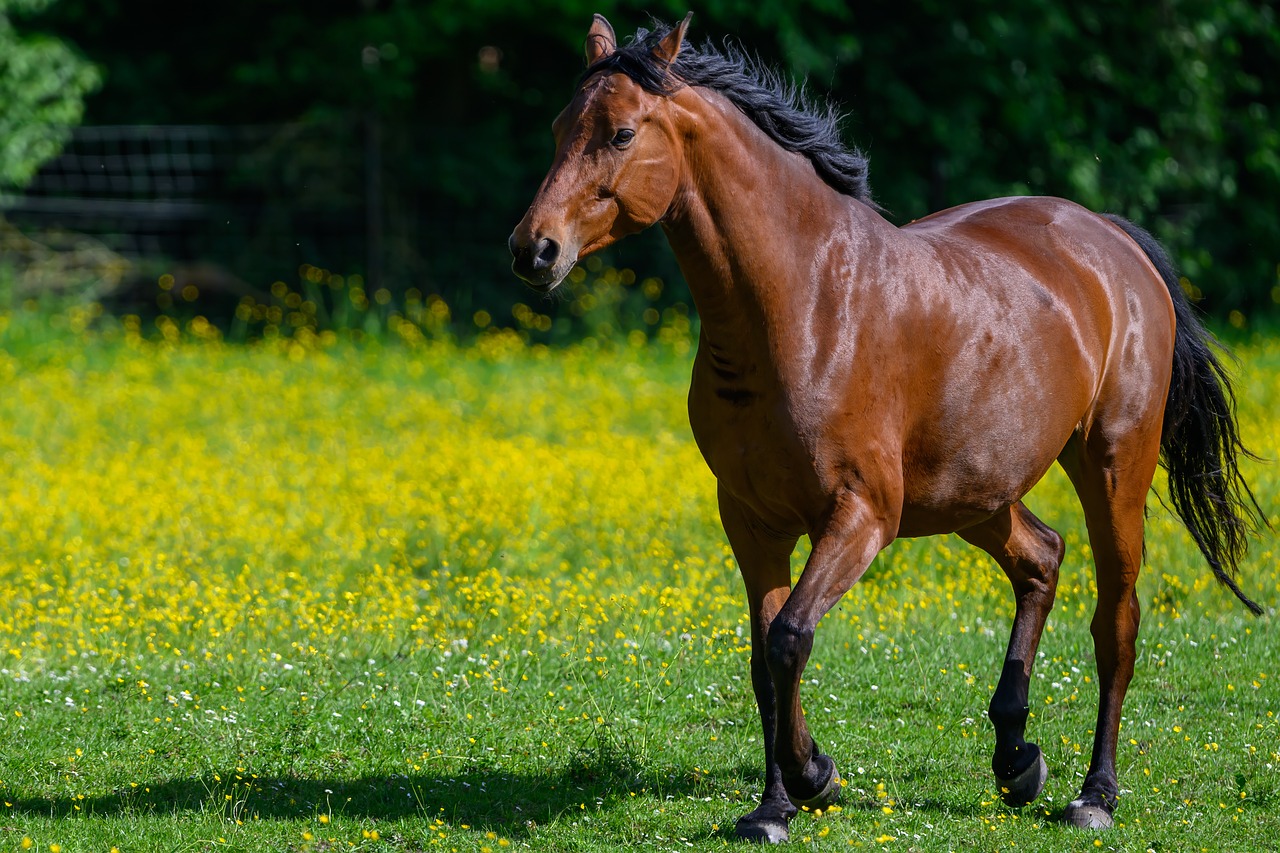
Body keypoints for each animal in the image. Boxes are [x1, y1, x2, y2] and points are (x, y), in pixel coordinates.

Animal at [508, 13, 1265, 843]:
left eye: (619, 133)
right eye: (558, 128)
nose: (533, 248)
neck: (802, 303)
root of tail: (1113, 242)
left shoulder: (861, 514)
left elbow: (789, 638)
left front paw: (805, 780)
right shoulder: (750, 518)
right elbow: (762, 658)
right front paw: (781, 797)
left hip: (1111, 467)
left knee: (1115, 624)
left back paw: (1094, 793)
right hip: (973, 494)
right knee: (1041, 558)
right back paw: (1015, 758)